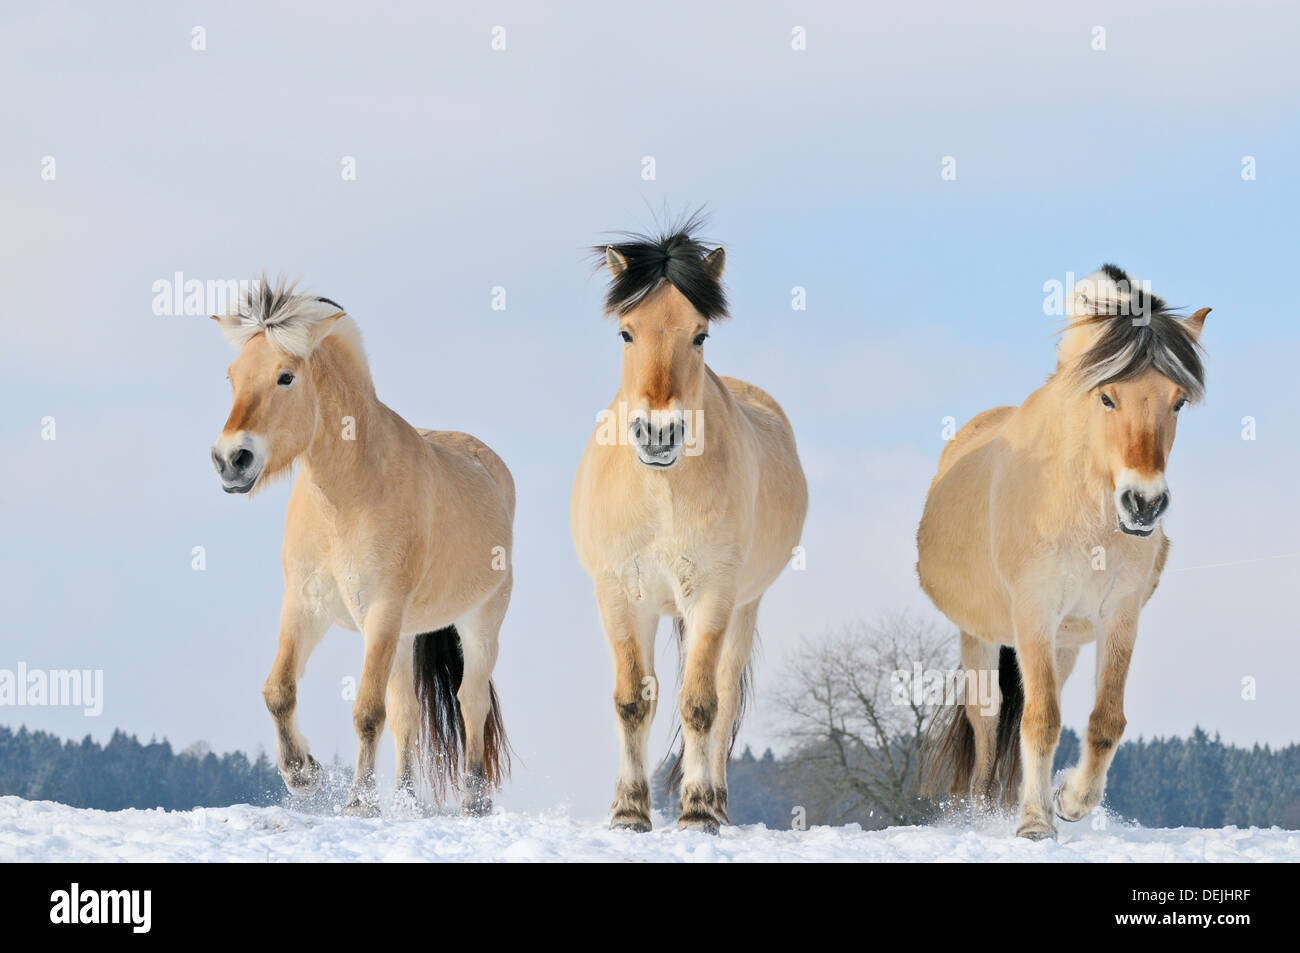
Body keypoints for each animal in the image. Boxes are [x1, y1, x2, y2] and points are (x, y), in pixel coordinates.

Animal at [208, 279, 513, 816]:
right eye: (232, 377)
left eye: (285, 377)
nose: (231, 460)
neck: (346, 496)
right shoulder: (306, 607)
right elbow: (279, 690)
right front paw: (303, 775)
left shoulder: (382, 611)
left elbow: (367, 710)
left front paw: (358, 801)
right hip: (405, 636)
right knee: (408, 712)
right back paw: (407, 800)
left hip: (479, 623)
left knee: (470, 700)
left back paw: (474, 802)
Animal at [570, 220, 809, 834]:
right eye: (626, 333)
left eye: (700, 335)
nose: (659, 433)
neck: (659, 497)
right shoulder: (619, 596)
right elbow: (633, 701)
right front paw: (629, 812)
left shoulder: (712, 595)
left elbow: (701, 703)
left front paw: (697, 812)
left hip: (745, 608)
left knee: (722, 698)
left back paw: (716, 802)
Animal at [918, 265, 1211, 839]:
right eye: (1107, 397)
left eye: (1178, 401)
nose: (1144, 504)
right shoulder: (1034, 610)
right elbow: (1040, 718)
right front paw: (1034, 823)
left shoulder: (1118, 616)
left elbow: (1105, 721)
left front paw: (1070, 802)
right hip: (980, 636)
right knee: (988, 721)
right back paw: (984, 812)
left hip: (1066, 645)